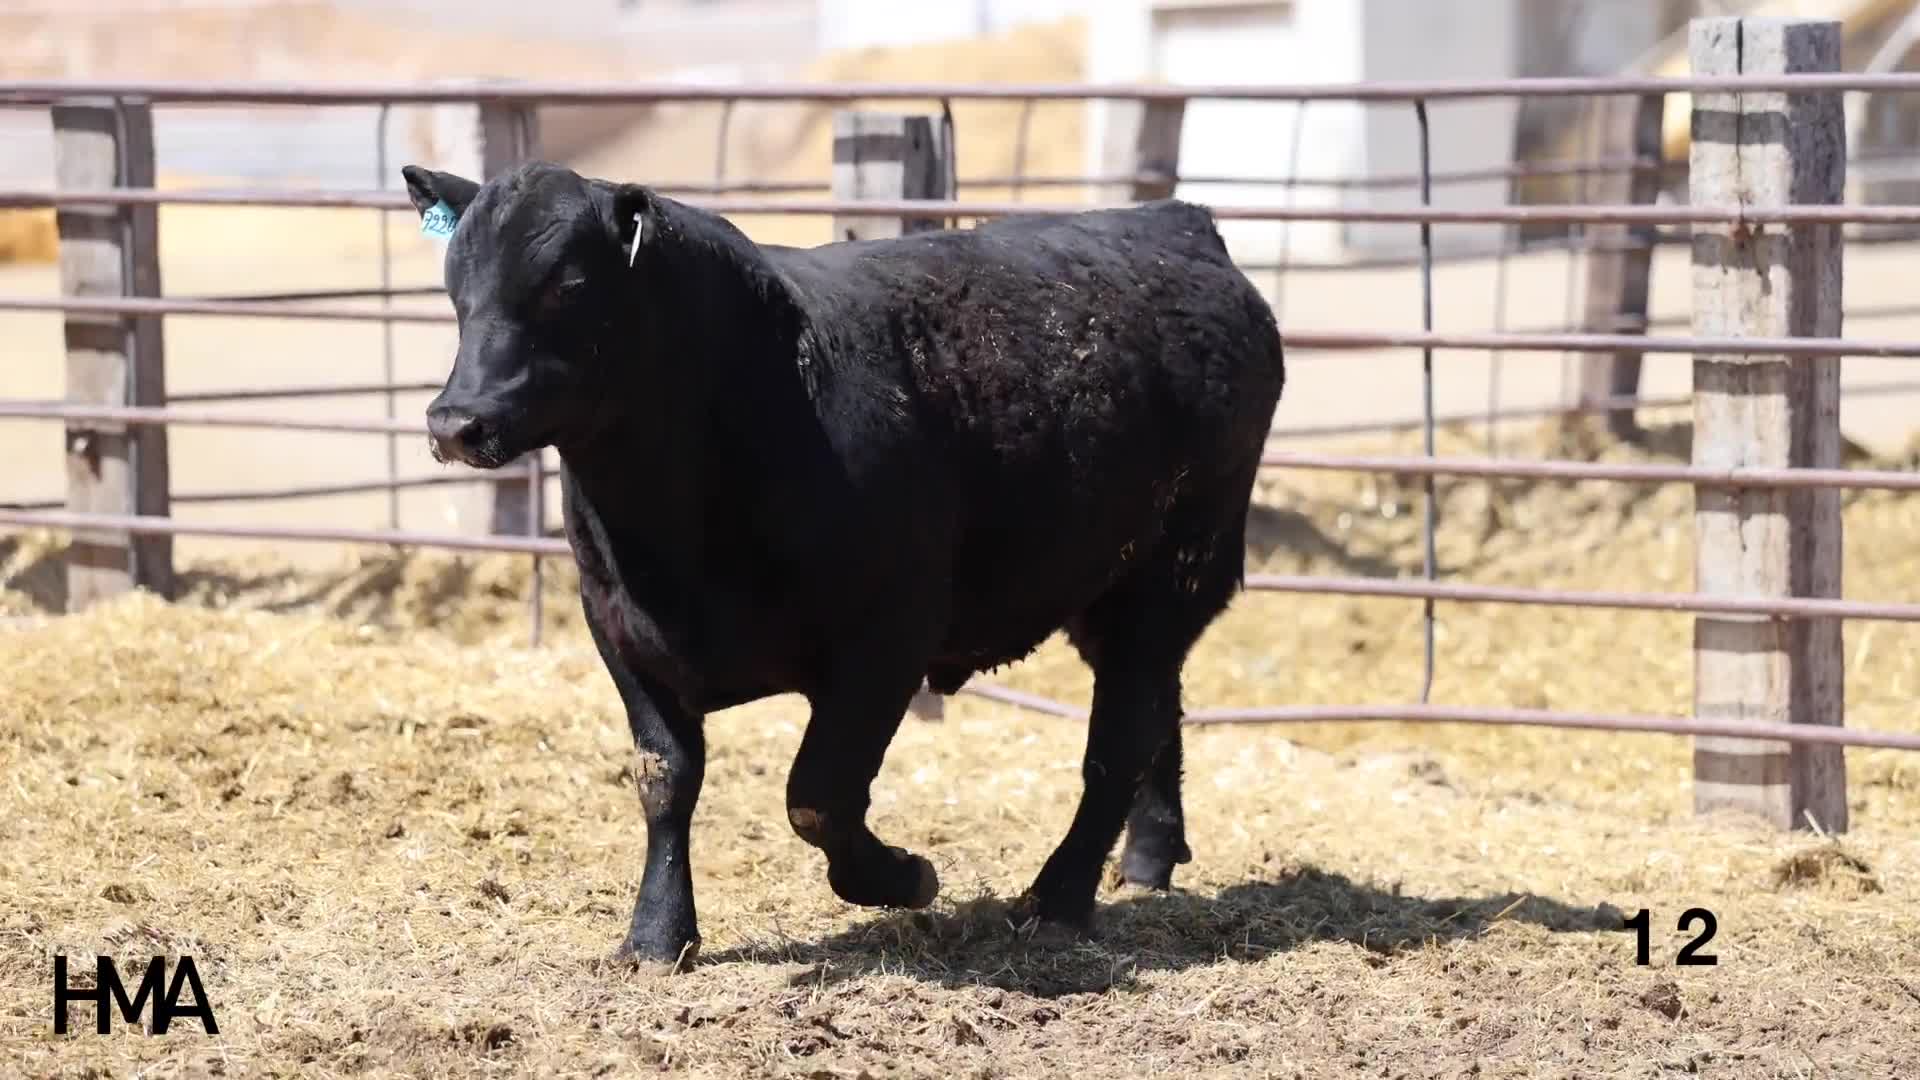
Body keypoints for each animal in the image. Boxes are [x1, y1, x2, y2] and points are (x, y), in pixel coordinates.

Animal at [401, 160, 1285, 973]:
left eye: (567, 284)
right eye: (456, 289)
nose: (454, 422)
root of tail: (1174, 221)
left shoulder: (887, 637)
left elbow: (818, 796)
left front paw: (904, 877)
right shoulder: (617, 627)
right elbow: (665, 778)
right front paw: (656, 935)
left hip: (1169, 575)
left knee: (1119, 737)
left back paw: (1058, 900)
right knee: (1155, 712)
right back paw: (1147, 860)